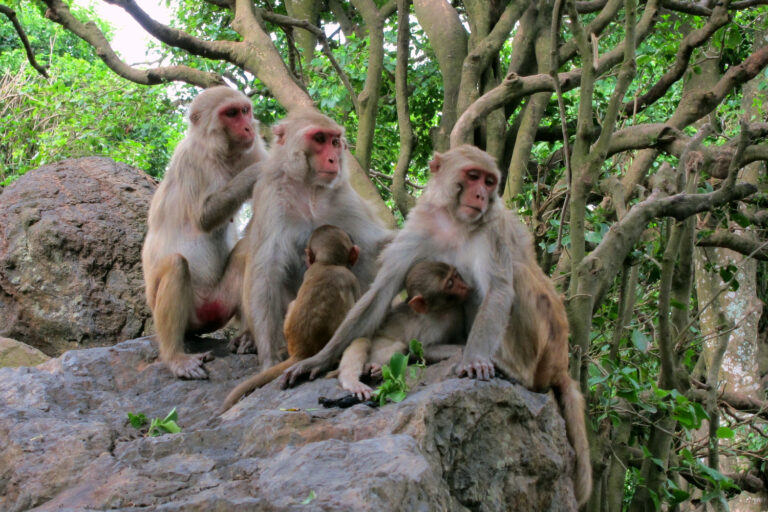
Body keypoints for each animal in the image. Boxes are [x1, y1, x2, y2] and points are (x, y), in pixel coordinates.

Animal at [142, 86, 268, 379]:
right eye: (231, 114)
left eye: (245, 110)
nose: (248, 127)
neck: (222, 154)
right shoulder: (191, 160)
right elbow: (203, 218)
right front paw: (257, 172)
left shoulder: (253, 147)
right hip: (186, 313)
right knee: (176, 265)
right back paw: (175, 357)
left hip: (222, 302)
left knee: (248, 252)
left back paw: (248, 335)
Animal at [234, 109, 392, 368]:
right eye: (319, 139)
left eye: (335, 142)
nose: (334, 159)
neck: (310, 190)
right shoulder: (270, 197)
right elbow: (265, 271)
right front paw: (268, 358)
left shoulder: (344, 198)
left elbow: (375, 246)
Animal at [338, 261, 470, 400]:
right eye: (450, 283)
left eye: (456, 275)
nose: (464, 286)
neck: (442, 310)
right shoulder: (428, 327)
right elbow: (421, 350)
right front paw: (462, 350)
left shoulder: (457, 314)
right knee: (365, 341)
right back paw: (351, 380)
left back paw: (375, 367)